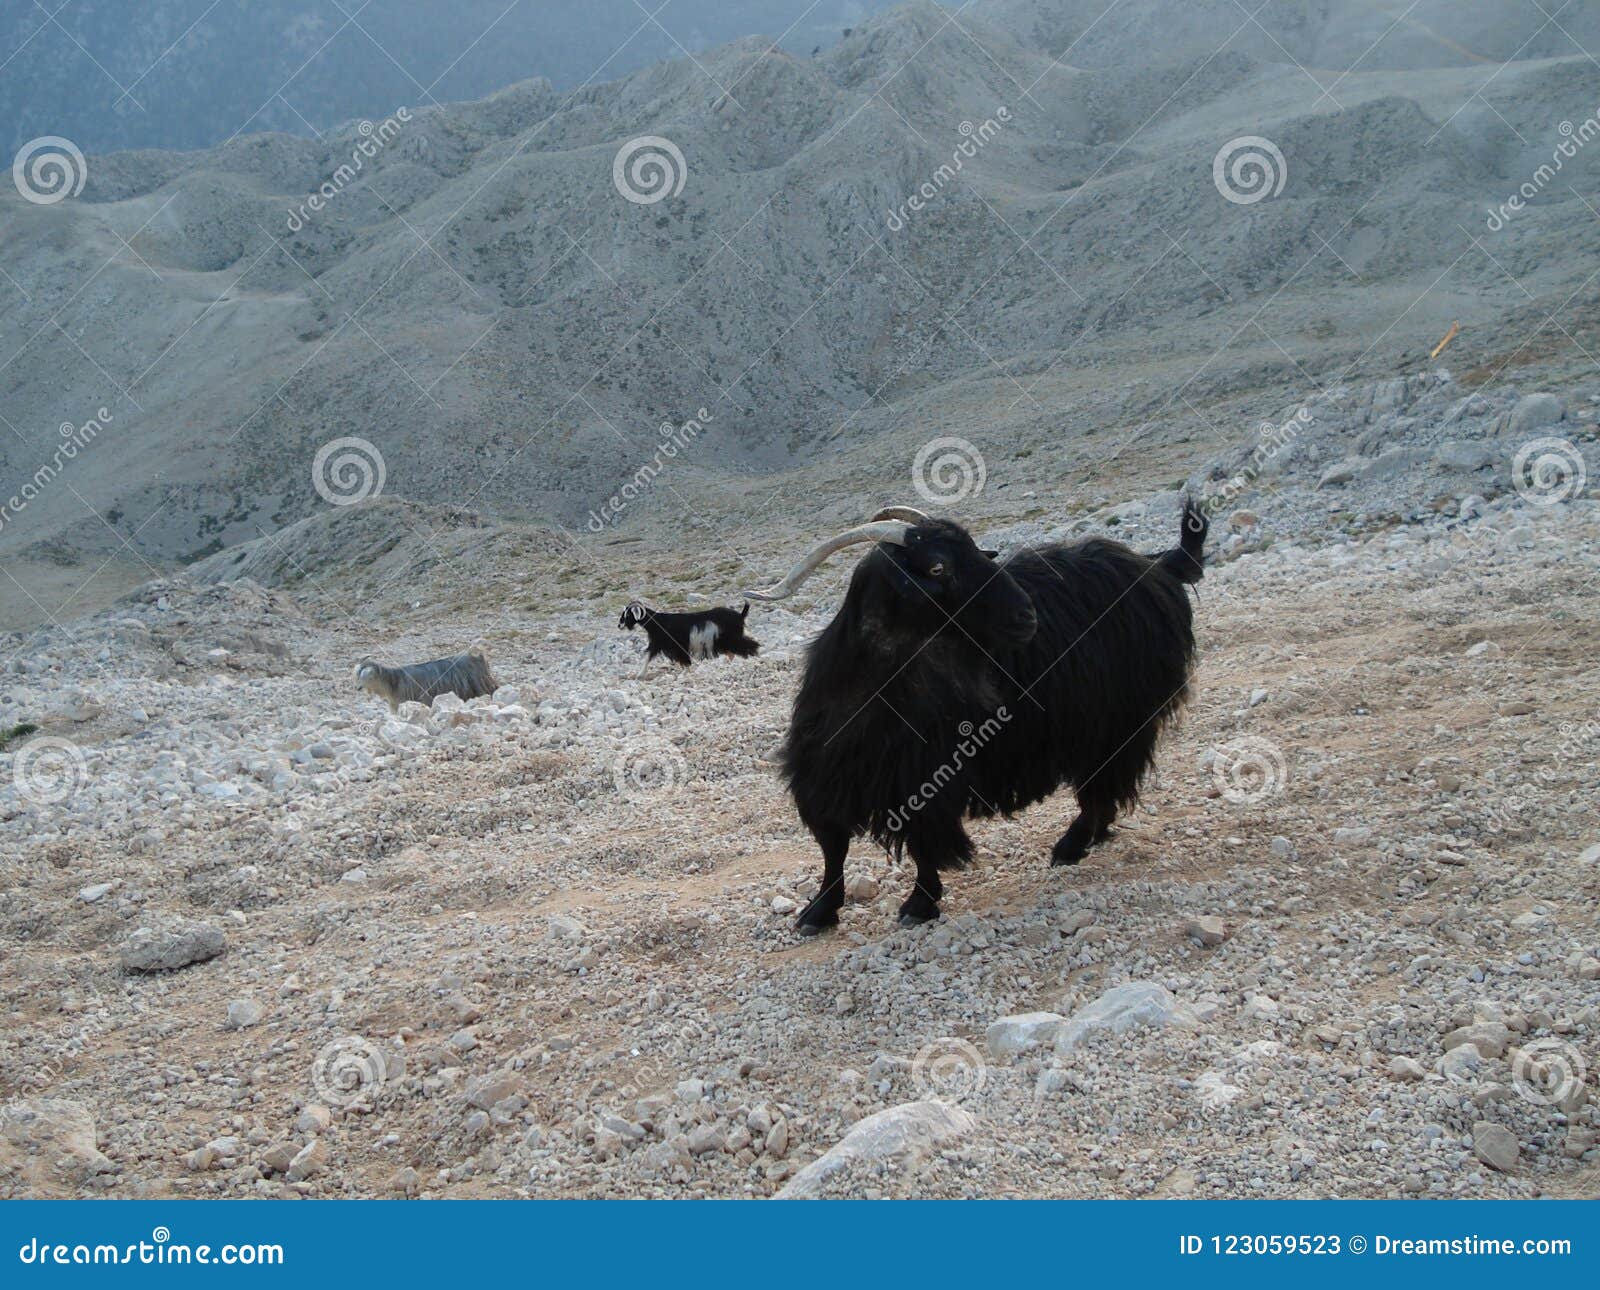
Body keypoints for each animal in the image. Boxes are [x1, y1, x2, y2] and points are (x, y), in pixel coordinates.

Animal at [355, 648, 499, 712]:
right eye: (357, 675)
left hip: (483, 687)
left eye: (368, 675)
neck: (394, 682)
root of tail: (479, 657)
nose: (358, 688)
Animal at [618, 601, 760, 678]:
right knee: (732, 652)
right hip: (727, 640)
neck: (659, 622)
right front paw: (640, 674)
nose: (619, 625)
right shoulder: (658, 644)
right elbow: (648, 656)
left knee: (750, 645)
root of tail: (740, 615)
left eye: (628, 614)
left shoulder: (675, 645)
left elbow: (684, 660)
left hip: (732, 638)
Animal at [745, 500, 1207, 935]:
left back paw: (1072, 844)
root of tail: (1155, 564)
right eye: (938, 567)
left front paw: (919, 904)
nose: (1027, 617)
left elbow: (923, 842)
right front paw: (819, 911)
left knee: (1104, 780)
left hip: (1118, 719)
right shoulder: (827, 773)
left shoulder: (927, 775)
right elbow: (833, 846)